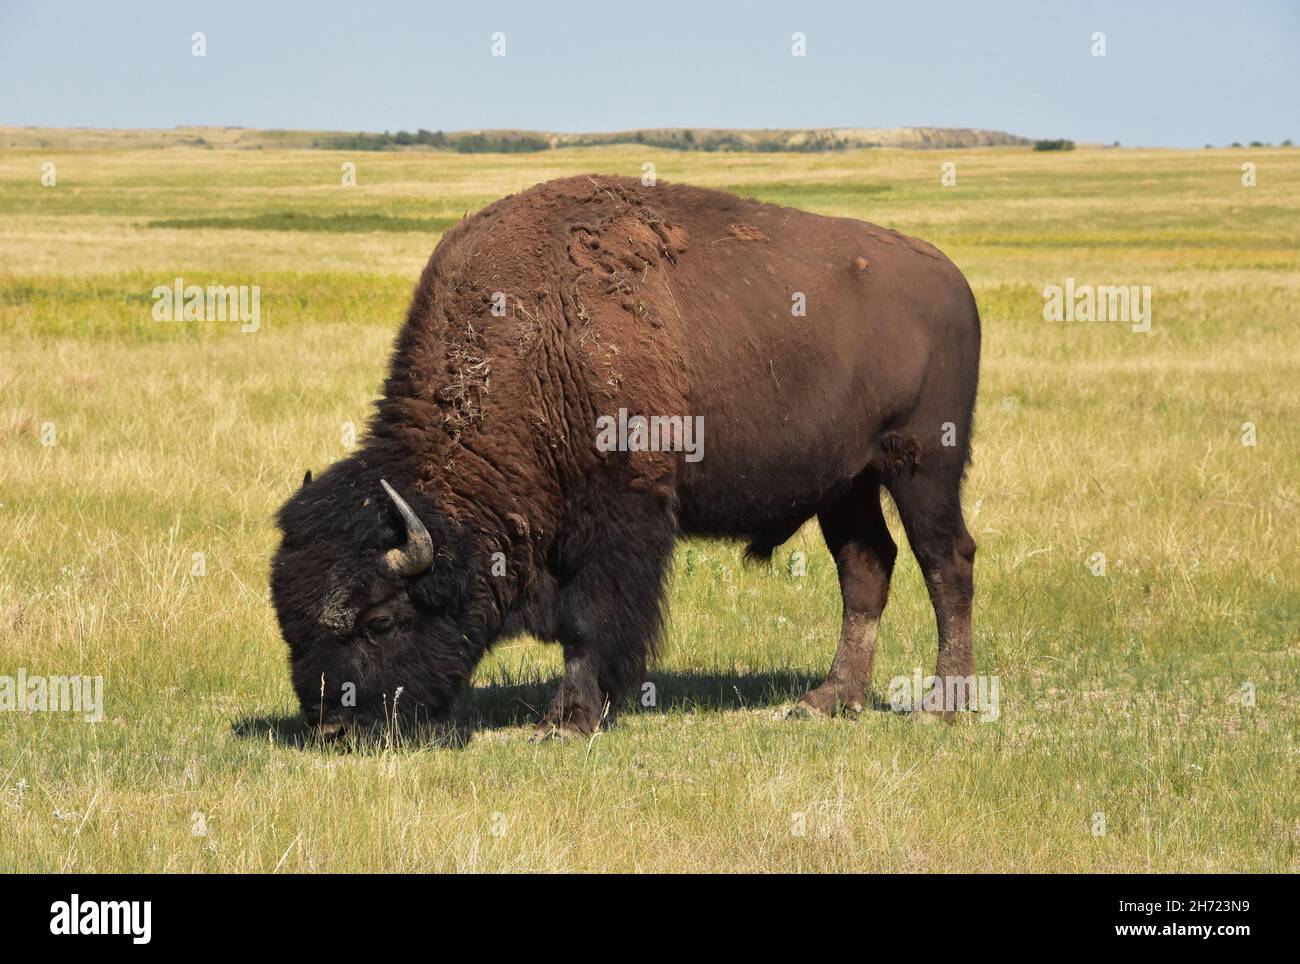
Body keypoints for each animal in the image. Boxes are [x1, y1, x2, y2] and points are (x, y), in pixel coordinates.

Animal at [270, 175, 980, 740]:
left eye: (381, 621)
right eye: (290, 625)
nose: (334, 729)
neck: (539, 342)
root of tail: (952, 279)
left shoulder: (619, 515)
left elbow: (591, 619)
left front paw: (567, 721)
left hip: (922, 466)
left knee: (946, 561)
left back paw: (943, 705)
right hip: (847, 485)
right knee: (867, 568)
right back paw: (827, 700)